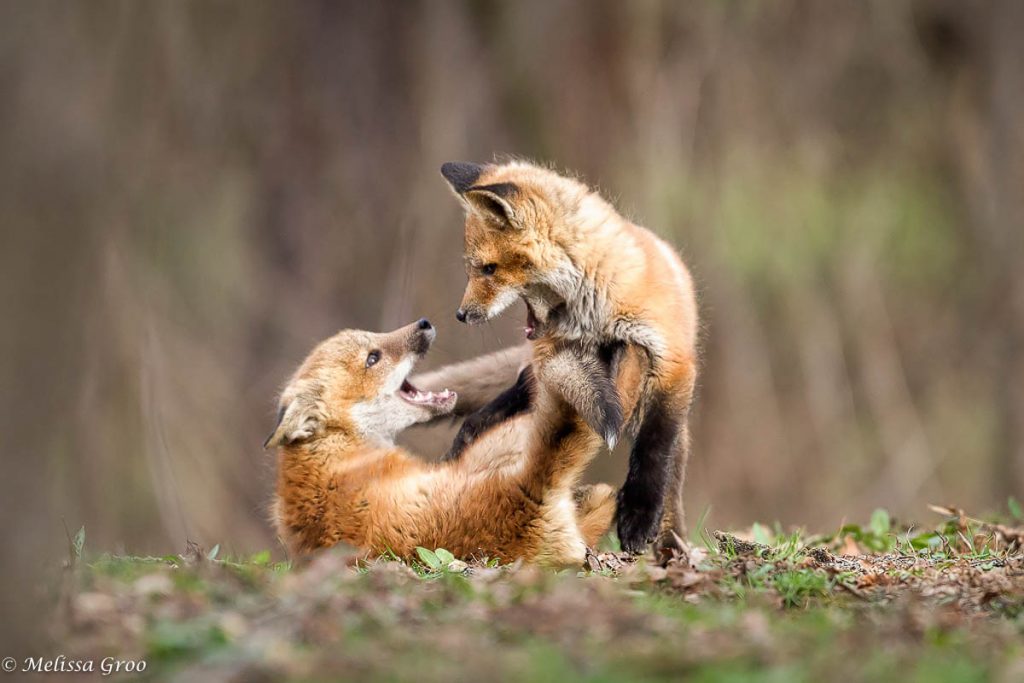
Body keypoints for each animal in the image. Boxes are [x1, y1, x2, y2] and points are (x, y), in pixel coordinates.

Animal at [439, 160, 700, 556]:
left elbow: (654, 450)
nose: (461, 315)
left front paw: (639, 515)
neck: (596, 307)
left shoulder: (671, 361)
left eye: (488, 269)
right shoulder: (564, 357)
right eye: (473, 268)